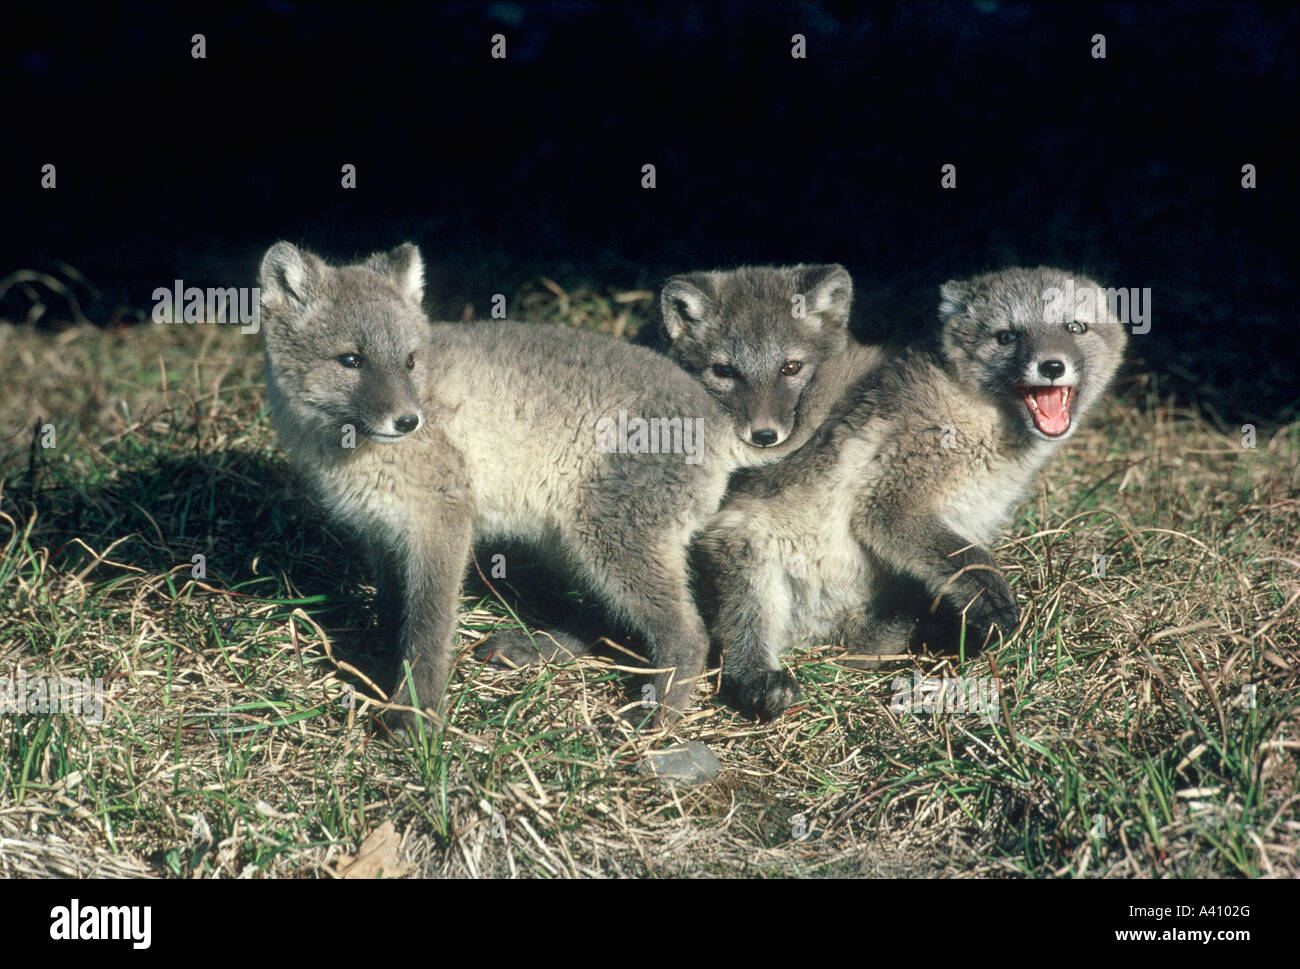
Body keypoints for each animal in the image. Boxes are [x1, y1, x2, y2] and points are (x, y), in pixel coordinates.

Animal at [258, 241, 783, 732]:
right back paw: (538, 649)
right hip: (574, 547)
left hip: (610, 543)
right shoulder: (382, 534)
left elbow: (427, 627)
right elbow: (393, 615)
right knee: (608, 621)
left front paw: (416, 716)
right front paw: (381, 672)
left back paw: (652, 718)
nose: (408, 421)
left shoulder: (442, 523)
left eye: (409, 361)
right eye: (350, 360)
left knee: (690, 634)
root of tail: (719, 422)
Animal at [693, 267, 1129, 720]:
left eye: (1075, 327)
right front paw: (999, 612)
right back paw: (761, 681)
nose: (1052, 365)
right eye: (1007, 336)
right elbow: (973, 563)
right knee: (740, 632)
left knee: (858, 649)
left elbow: (963, 562)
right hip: (746, 552)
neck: (977, 413)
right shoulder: (892, 503)